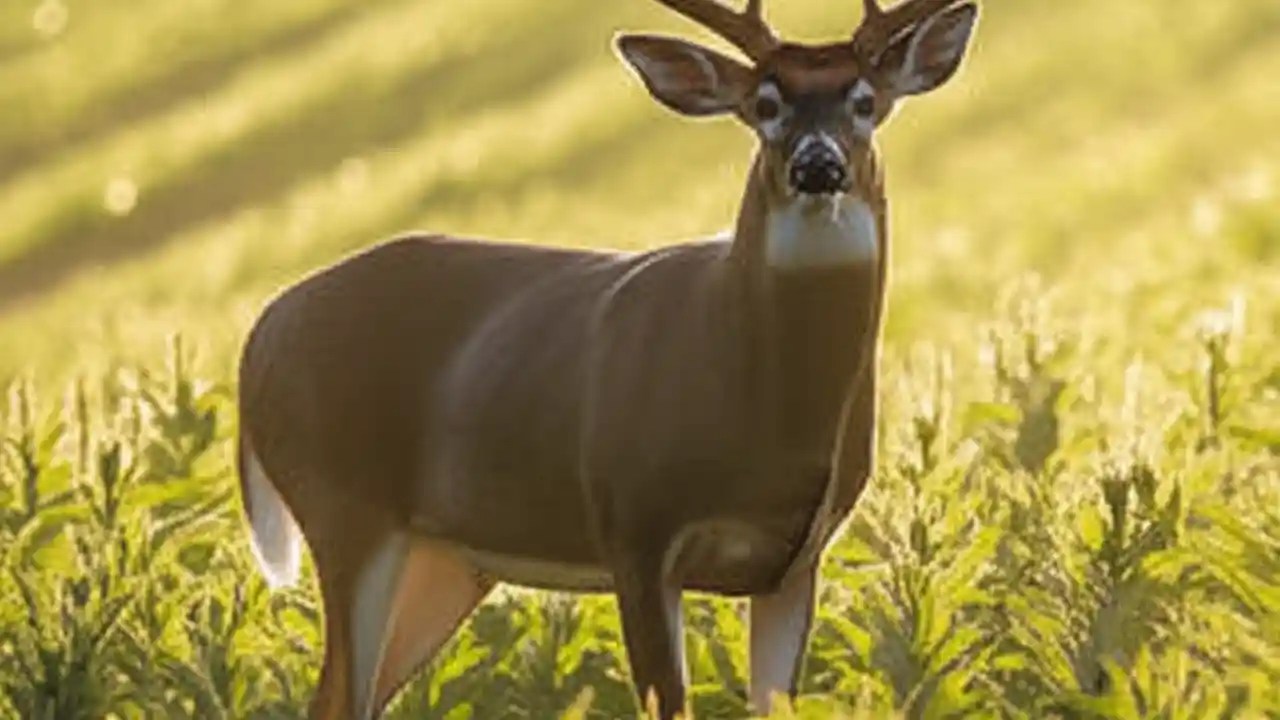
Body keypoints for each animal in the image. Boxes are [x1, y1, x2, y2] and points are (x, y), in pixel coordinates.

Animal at [235, 0, 978, 717]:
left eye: (865, 101)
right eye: (764, 105)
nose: (817, 165)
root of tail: (258, 334)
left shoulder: (796, 563)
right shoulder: (635, 525)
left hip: (445, 557)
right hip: (342, 504)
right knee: (335, 695)